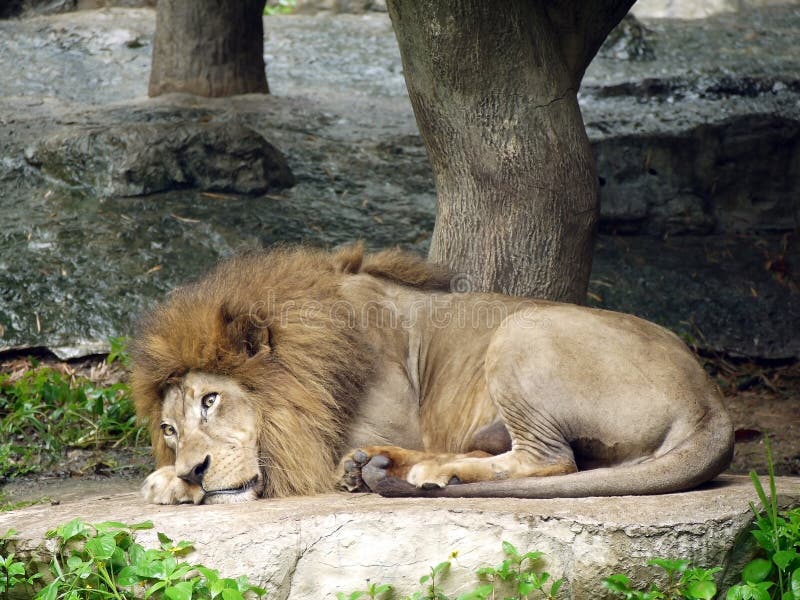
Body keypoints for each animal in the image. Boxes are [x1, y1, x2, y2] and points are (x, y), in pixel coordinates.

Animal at [132, 243, 734, 504]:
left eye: (211, 399)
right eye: (168, 429)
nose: (193, 470)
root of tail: (710, 401)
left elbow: (286, 461)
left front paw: (170, 482)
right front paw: (173, 480)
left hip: (521, 329)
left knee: (551, 460)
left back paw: (428, 472)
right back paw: (376, 466)